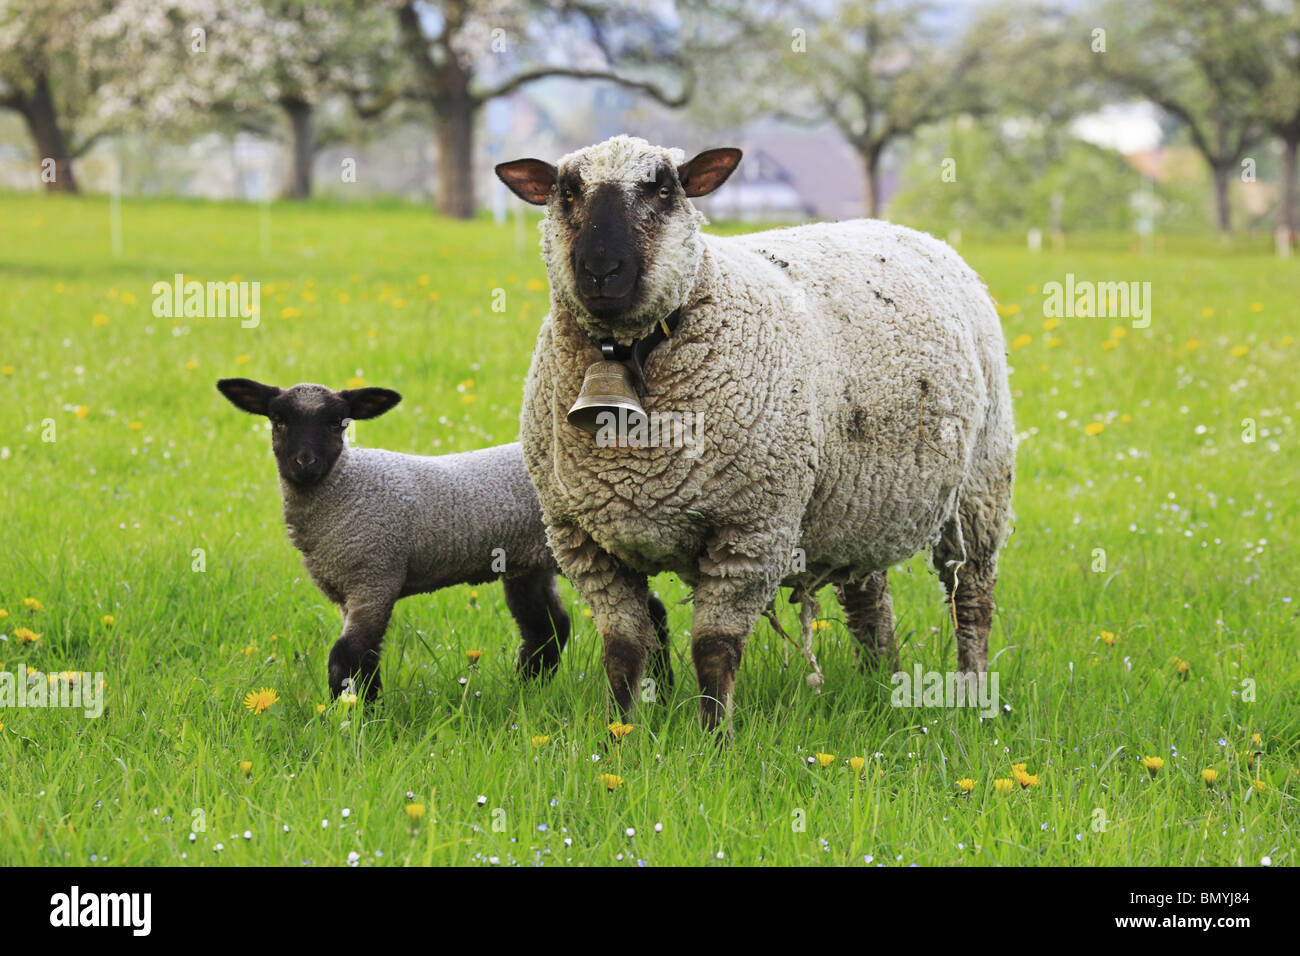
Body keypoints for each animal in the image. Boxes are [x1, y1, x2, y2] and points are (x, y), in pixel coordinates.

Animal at [215, 377, 672, 700]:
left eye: (337, 423)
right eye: (278, 421)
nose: (304, 463)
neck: (346, 488)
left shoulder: (374, 576)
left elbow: (348, 657)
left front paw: (356, 718)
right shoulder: (351, 589)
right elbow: (363, 658)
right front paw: (364, 709)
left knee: (648, 616)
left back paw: (661, 692)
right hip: (528, 561)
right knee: (546, 628)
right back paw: (527, 692)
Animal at [496, 135, 1016, 733]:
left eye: (664, 189)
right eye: (565, 191)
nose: (602, 269)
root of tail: (906, 230)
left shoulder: (751, 531)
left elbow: (713, 649)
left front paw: (713, 739)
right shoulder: (584, 542)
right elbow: (623, 650)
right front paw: (619, 735)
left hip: (980, 486)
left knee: (971, 598)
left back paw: (971, 693)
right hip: (861, 502)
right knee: (869, 603)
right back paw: (879, 681)